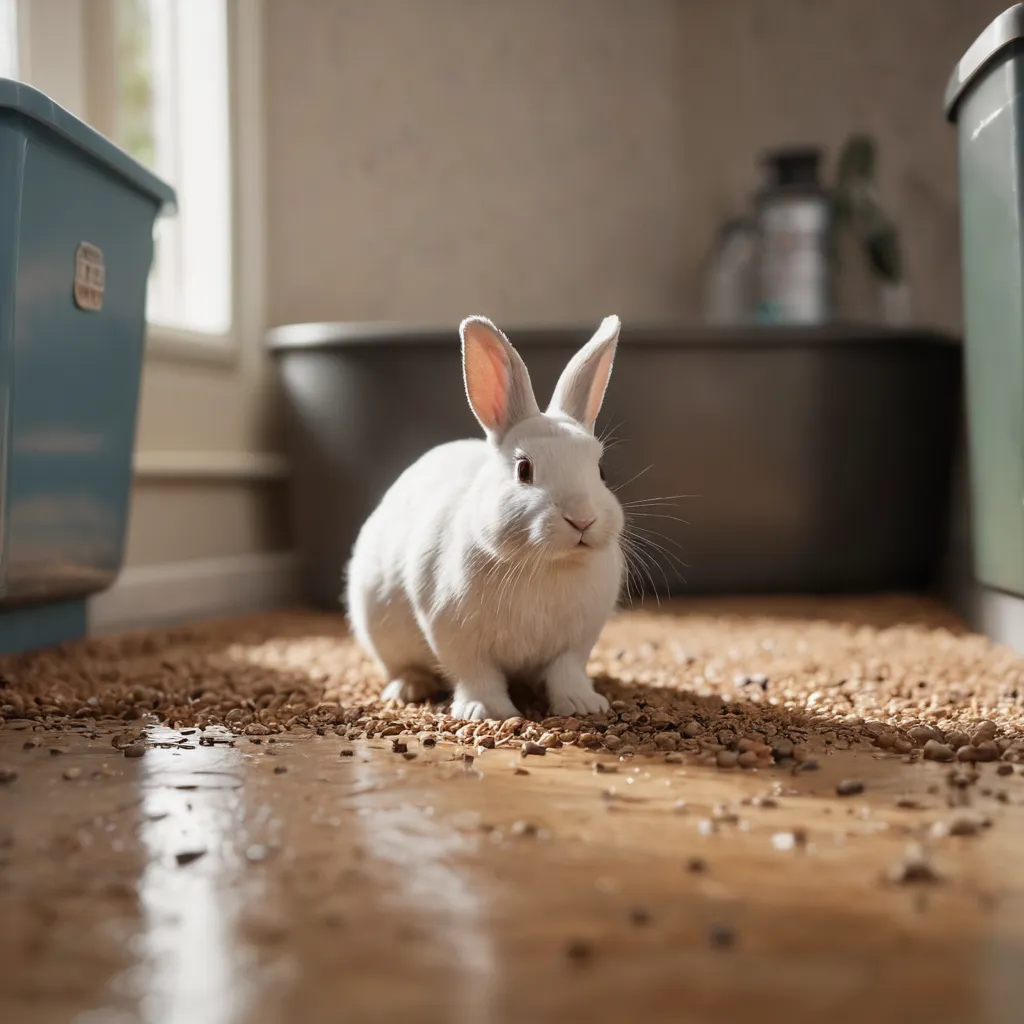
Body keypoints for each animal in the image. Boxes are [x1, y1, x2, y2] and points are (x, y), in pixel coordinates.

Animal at [345, 314, 625, 722]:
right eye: (524, 470)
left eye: (601, 470)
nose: (582, 520)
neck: (545, 565)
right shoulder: (454, 631)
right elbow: (476, 674)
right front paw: (488, 713)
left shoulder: (576, 642)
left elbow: (565, 673)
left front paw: (583, 706)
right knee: (402, 667)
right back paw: (409, 688)